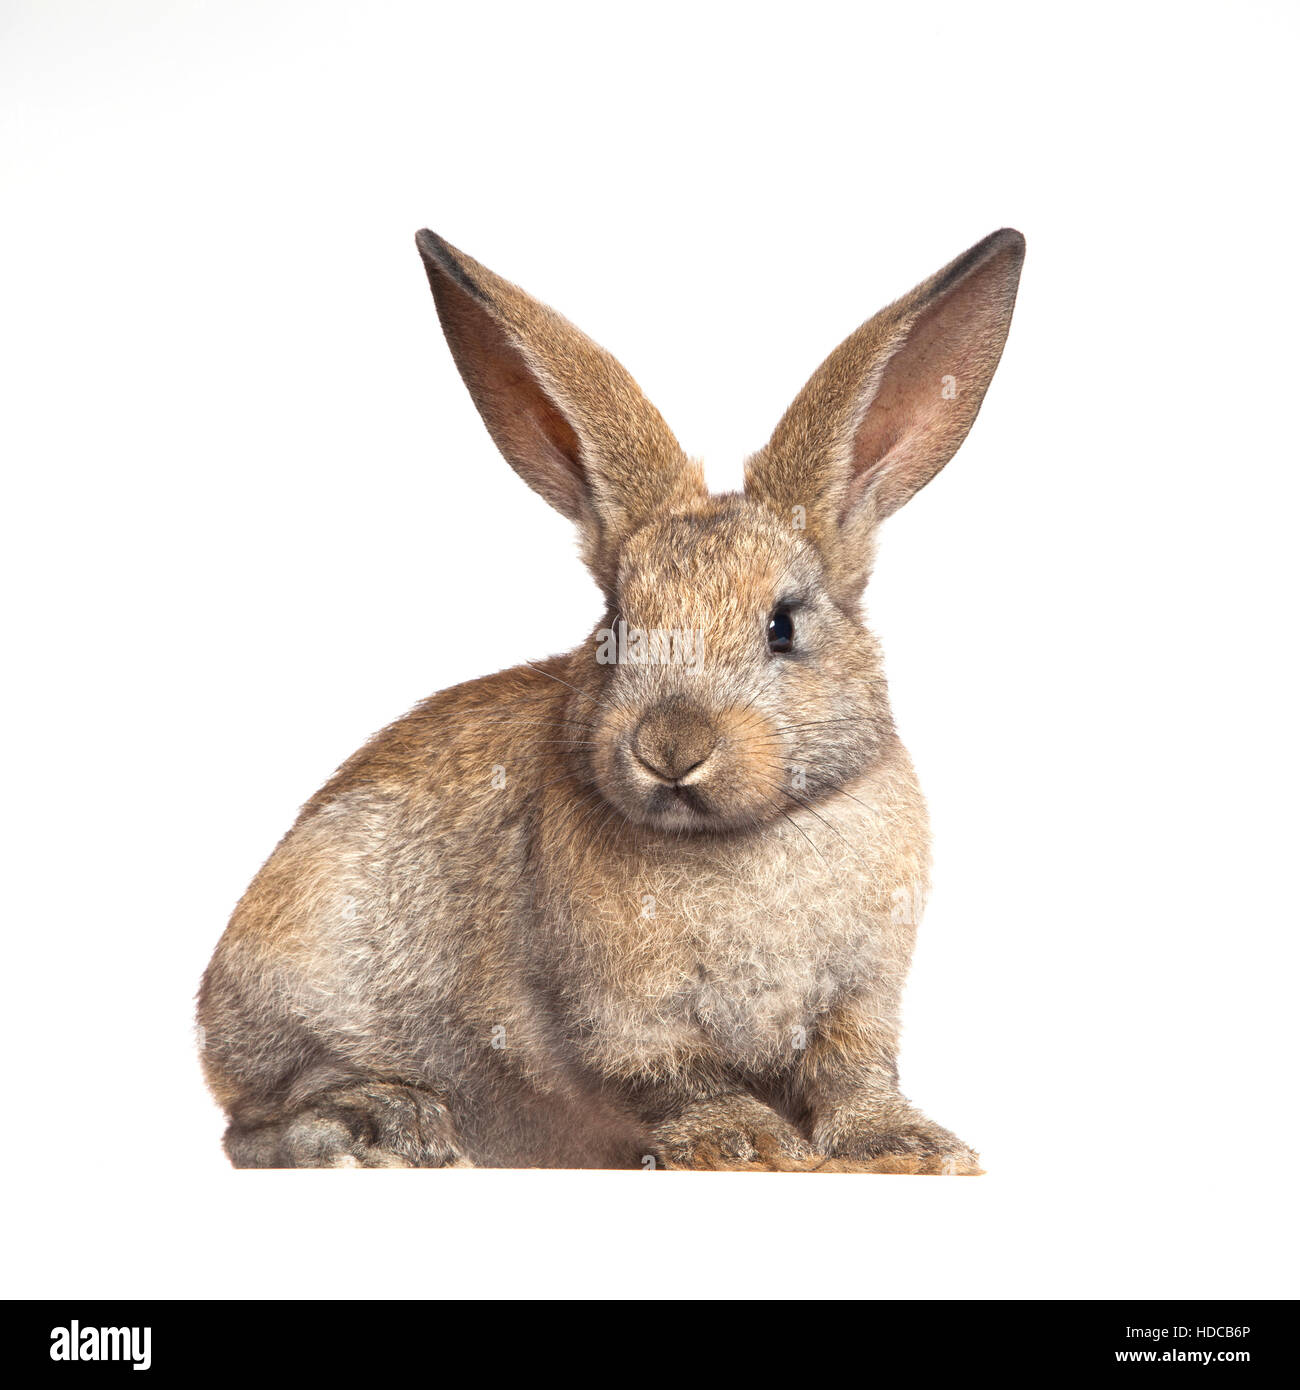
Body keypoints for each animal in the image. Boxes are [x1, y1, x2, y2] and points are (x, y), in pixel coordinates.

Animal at [197, 225, 1025, 1171]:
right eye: (617, 625)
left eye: (782, 626)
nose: (671, 747)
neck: (735, 839)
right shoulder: (621, 1020)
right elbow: (677, 1080)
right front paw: (747, 1147)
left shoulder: (858, 1000)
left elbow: (853, 1075)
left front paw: (908, 1149)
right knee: (256, 1125)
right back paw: (386, 1126)